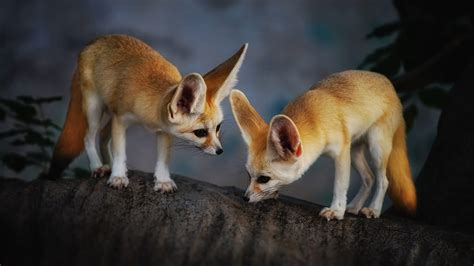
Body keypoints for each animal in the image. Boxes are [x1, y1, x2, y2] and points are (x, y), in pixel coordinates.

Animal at [49, 34, 248, 192]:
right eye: (200, 132)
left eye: (218, 128)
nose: (220, 151)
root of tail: (95, 41)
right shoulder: (121, 119)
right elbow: (120, 152)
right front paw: (118, 176)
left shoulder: (164, 131)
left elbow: (163, 159)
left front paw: (163, 180)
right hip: (94, 109)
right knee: (88, 137)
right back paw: (98, 166)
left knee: (103, 136)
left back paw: (108, 165)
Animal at [231, 70, 416, 220]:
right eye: (248, 175)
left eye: (264, 179)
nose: (245, 198)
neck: (313, 117)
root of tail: (389, 84)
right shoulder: (345, 149)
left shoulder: (341, 152)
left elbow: (340, 185)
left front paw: (337, 211)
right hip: (355, 151)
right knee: (369, 178)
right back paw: (354, 207)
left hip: (376, 148)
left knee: (384, 181)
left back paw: (373, 210)